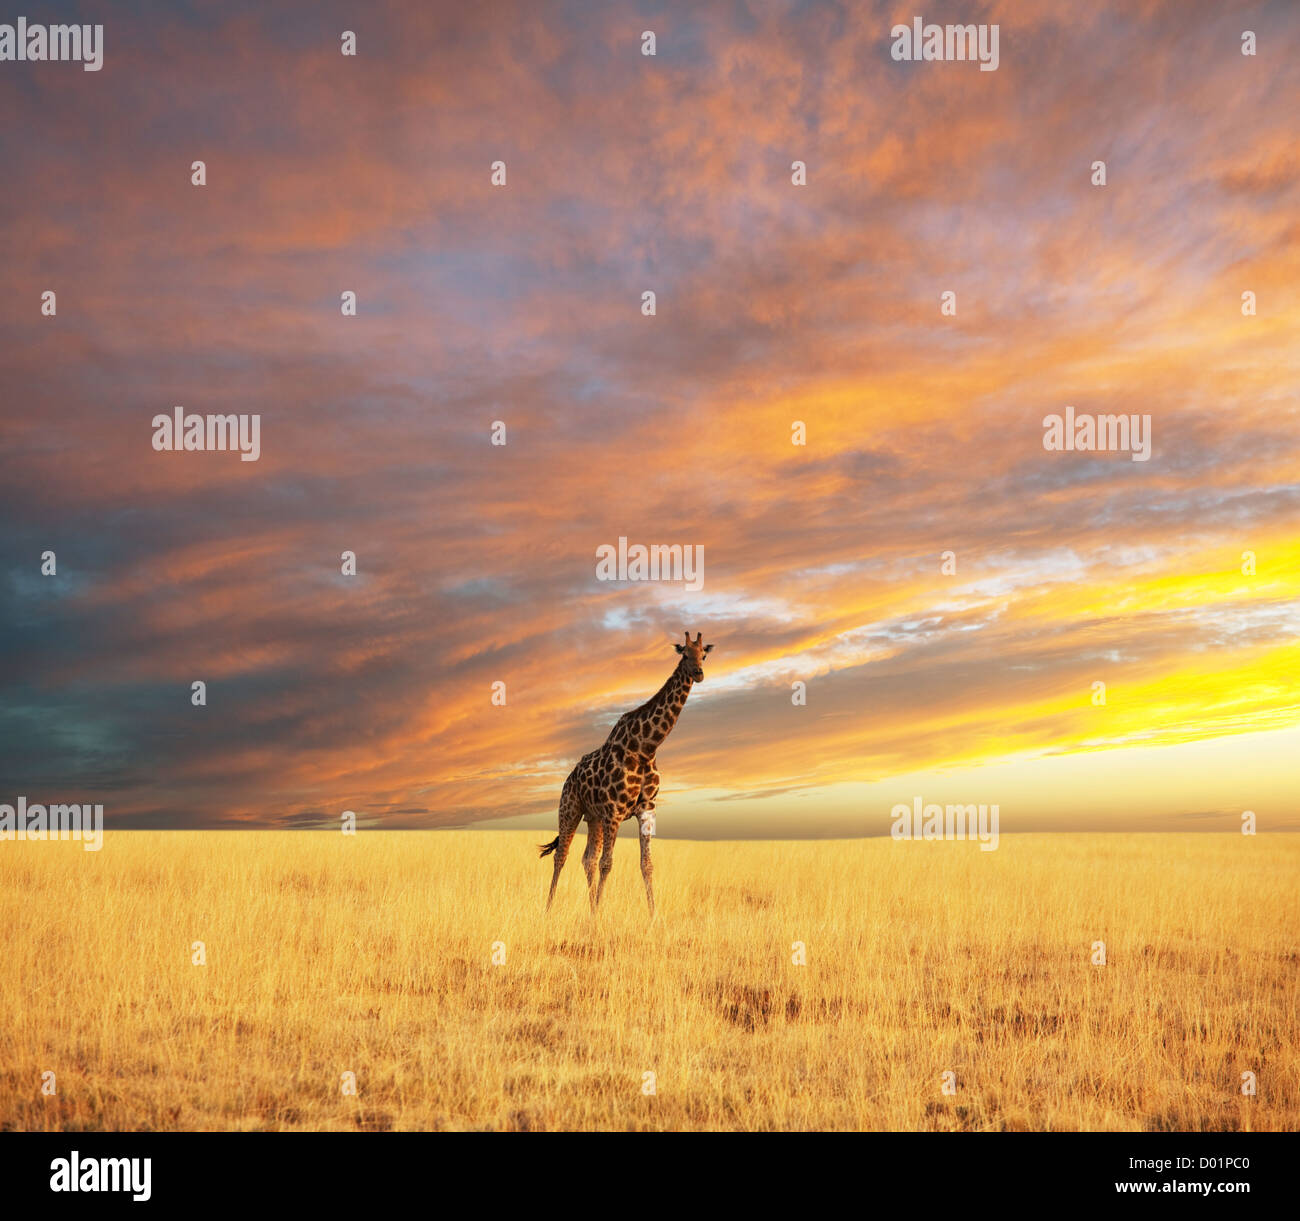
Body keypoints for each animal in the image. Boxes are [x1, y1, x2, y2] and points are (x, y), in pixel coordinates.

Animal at [540, 632, 713, 917]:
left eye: (704, 655)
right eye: (685, 654)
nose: (698, 673)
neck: (646, 747)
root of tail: (569, 778)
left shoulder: (646, 809)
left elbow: (646, 865)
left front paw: (652, 915)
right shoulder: (614, 811)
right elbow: (607, 863)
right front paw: (599, 918)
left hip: (594, 818)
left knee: (587, 858)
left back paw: (589, 907)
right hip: (570, 809)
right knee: (561, 856)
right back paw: (549, 909)